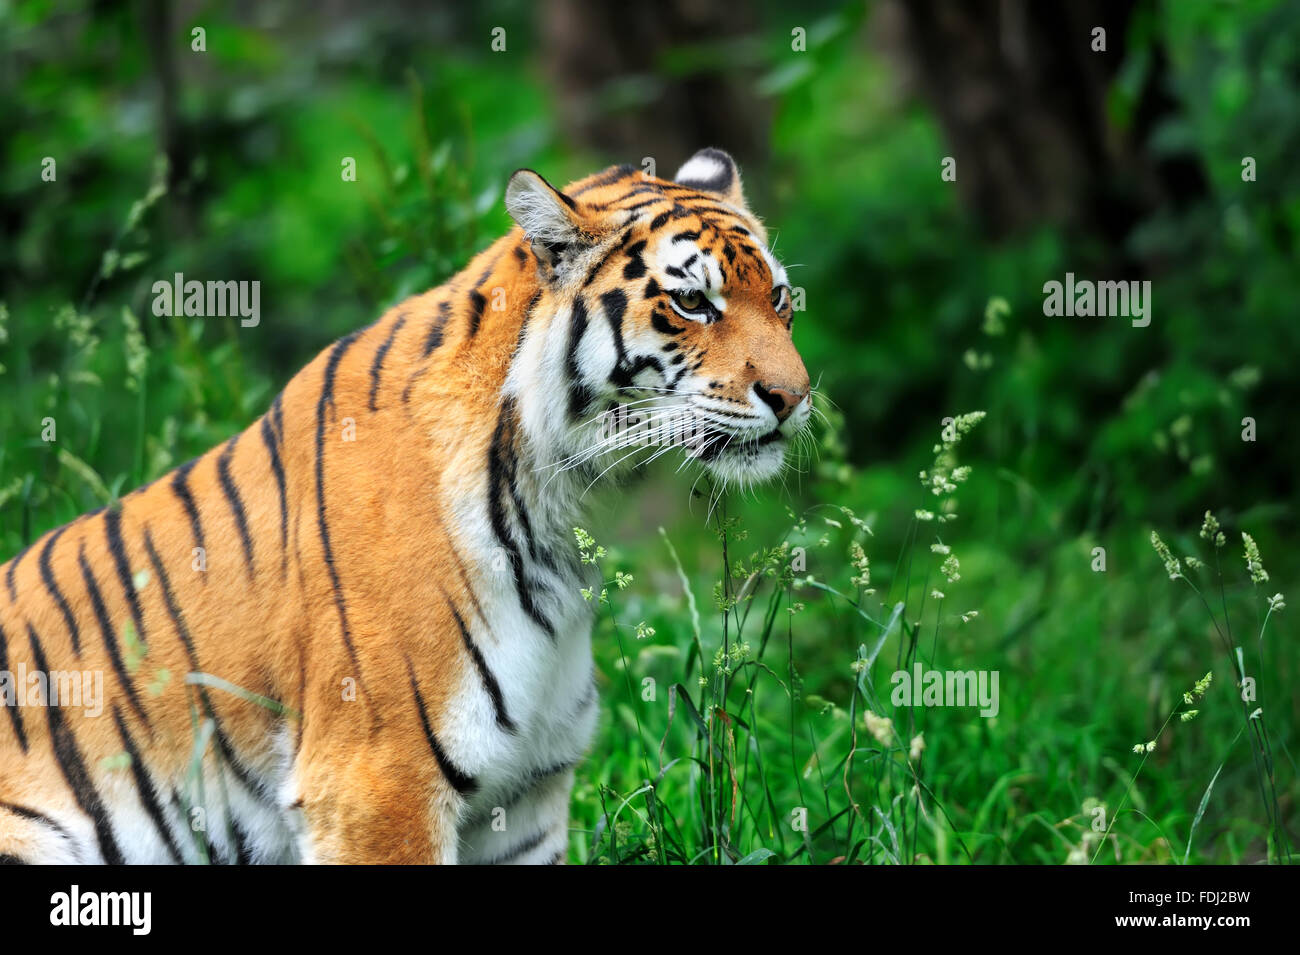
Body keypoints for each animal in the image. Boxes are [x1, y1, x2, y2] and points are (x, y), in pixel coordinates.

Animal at [0, 148, 811, 864]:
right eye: (691, 302)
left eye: (779, 299)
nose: (796, 397)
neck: (569, 503)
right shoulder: (378, 778)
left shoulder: (525, 796)